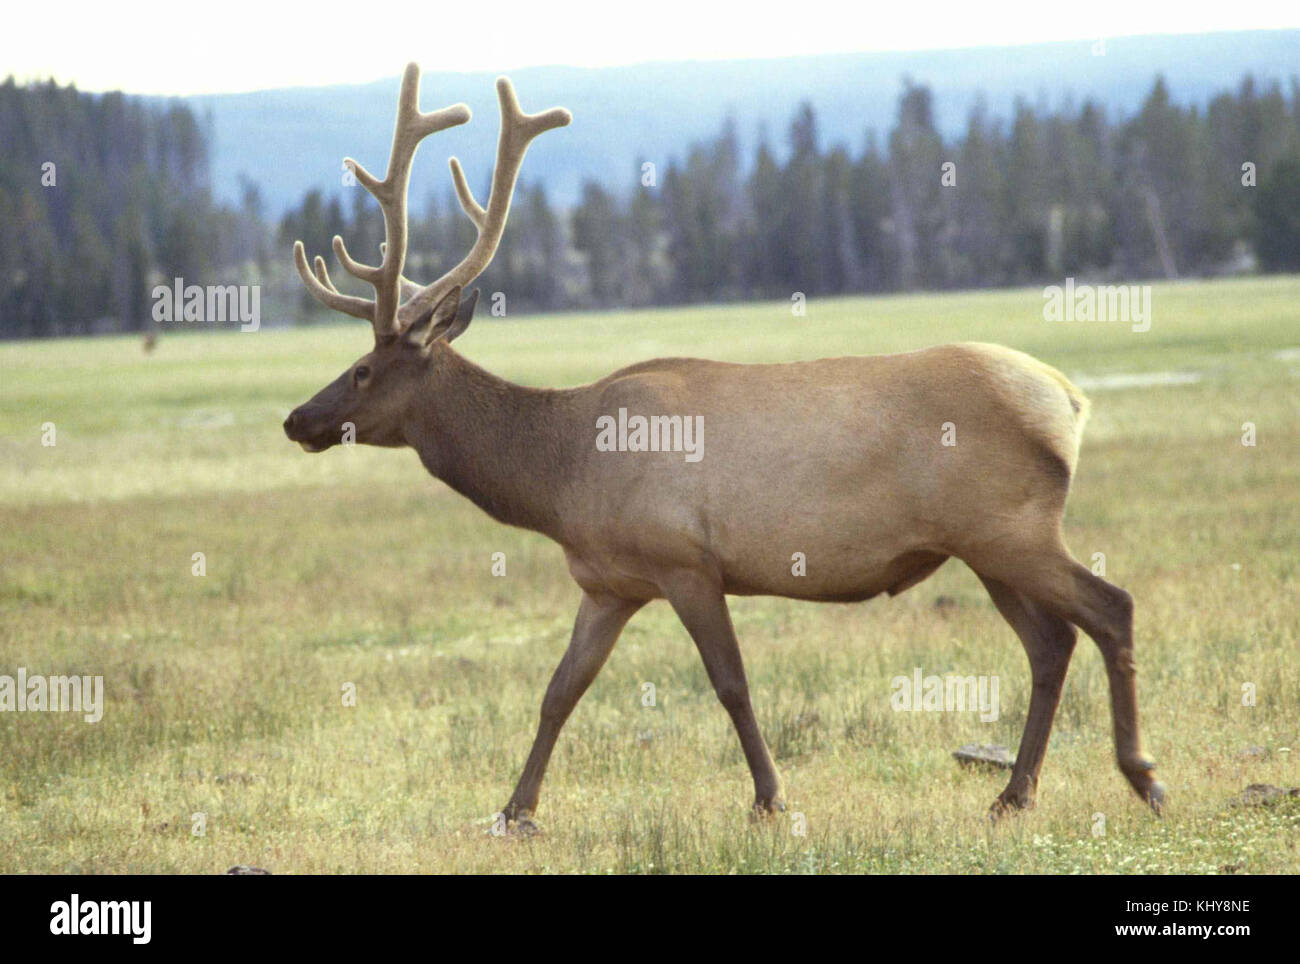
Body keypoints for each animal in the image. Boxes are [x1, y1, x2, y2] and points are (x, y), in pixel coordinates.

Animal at [283, 63, 1165, 830]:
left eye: (362, 370)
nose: (297, 419)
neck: (561, 481)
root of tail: (1071, 400)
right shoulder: (609, 582)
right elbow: (559, 690)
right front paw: (514, 810)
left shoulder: (686, 560)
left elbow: (731, 684)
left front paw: (771, 799)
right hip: (983, 544)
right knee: (1050, 642)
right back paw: (1014, 794)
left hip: (1011, 527)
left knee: (1108, 607)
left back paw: (1141, 776)